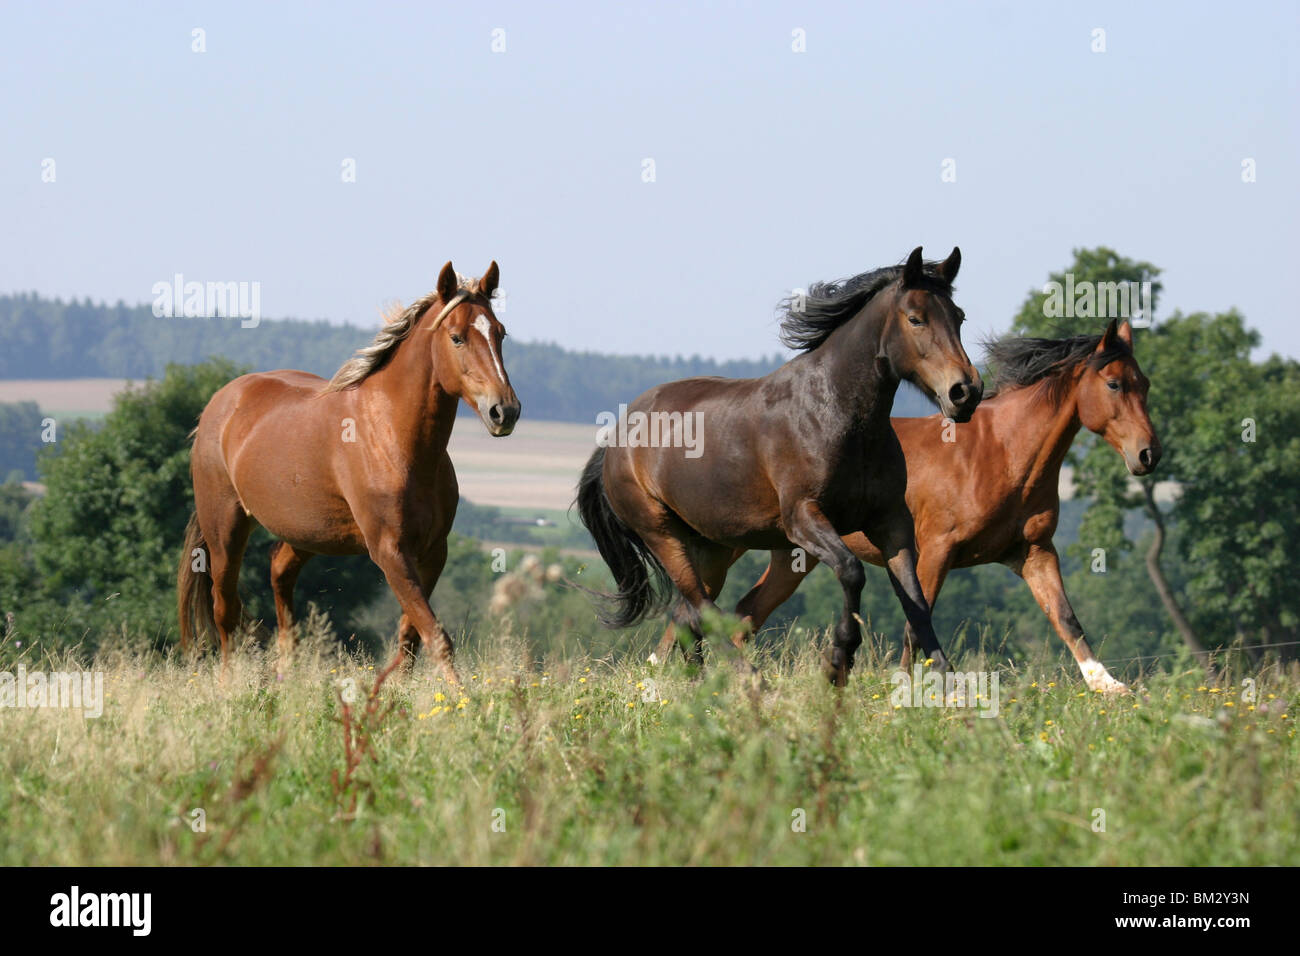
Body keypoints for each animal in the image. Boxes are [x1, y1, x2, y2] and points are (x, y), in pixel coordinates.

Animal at [178, 261, 520, 683]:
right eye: (456, 337)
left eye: (500, 333)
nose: (505, 411)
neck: (394, 438)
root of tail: (220, 403)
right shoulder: (389, 551)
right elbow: (435, 636)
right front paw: (460, 698)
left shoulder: (433, 551)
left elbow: (411, 636)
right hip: (225, 527)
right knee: (225, 608)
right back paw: (231, 686)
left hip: (304, 532)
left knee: (279, 571)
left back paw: (286, 672)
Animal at [577, 247, 982, 685]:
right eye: (915, 318)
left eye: (959, 317)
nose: (965, 392)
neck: (836, 413)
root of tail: (617, 437)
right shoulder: (802, 518)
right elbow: (852, 571)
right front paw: (839, 659)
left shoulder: (891, 522)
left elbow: (916, 600)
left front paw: (946, 678)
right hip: (662, 534)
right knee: (701, 610)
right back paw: (751, 678)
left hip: (711, 546)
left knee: (688, 615)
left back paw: (705, 686)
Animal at [655, 318, 1158, 694]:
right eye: (1114, 384)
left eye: (1146, 384)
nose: (1148, 455)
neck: (1000, 452)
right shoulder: (934, 551)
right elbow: (917, 623)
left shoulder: (1032, 553)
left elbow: (1066, 619)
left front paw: (1111, 688)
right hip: (722, 547)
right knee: (686, 614)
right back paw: (656, 688)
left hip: (788, 558)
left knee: (736, 618)